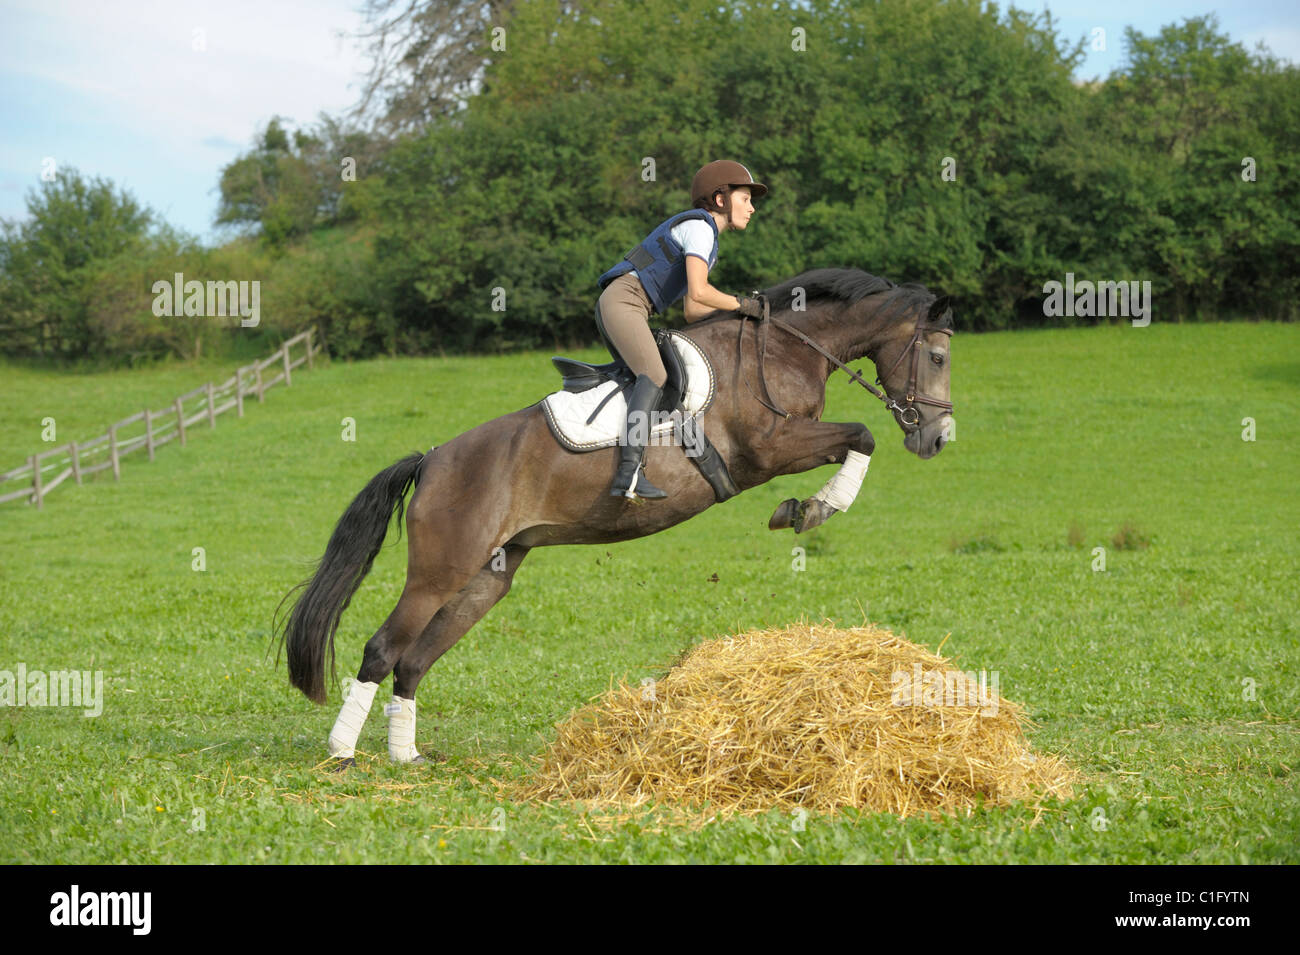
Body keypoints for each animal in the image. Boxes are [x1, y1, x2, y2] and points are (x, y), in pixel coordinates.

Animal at [277, 267, 955, 765]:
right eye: (939, 358)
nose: (938, 439)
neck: (783, 348)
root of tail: (433, 459)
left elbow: (857, 439)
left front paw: (807, 506)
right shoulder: (767, 448)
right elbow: (863, 434)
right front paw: (811, 509)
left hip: (487, 576)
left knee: (414, 660)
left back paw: (406, 755)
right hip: (440, 570)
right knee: (382, 649)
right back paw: (342, 752)